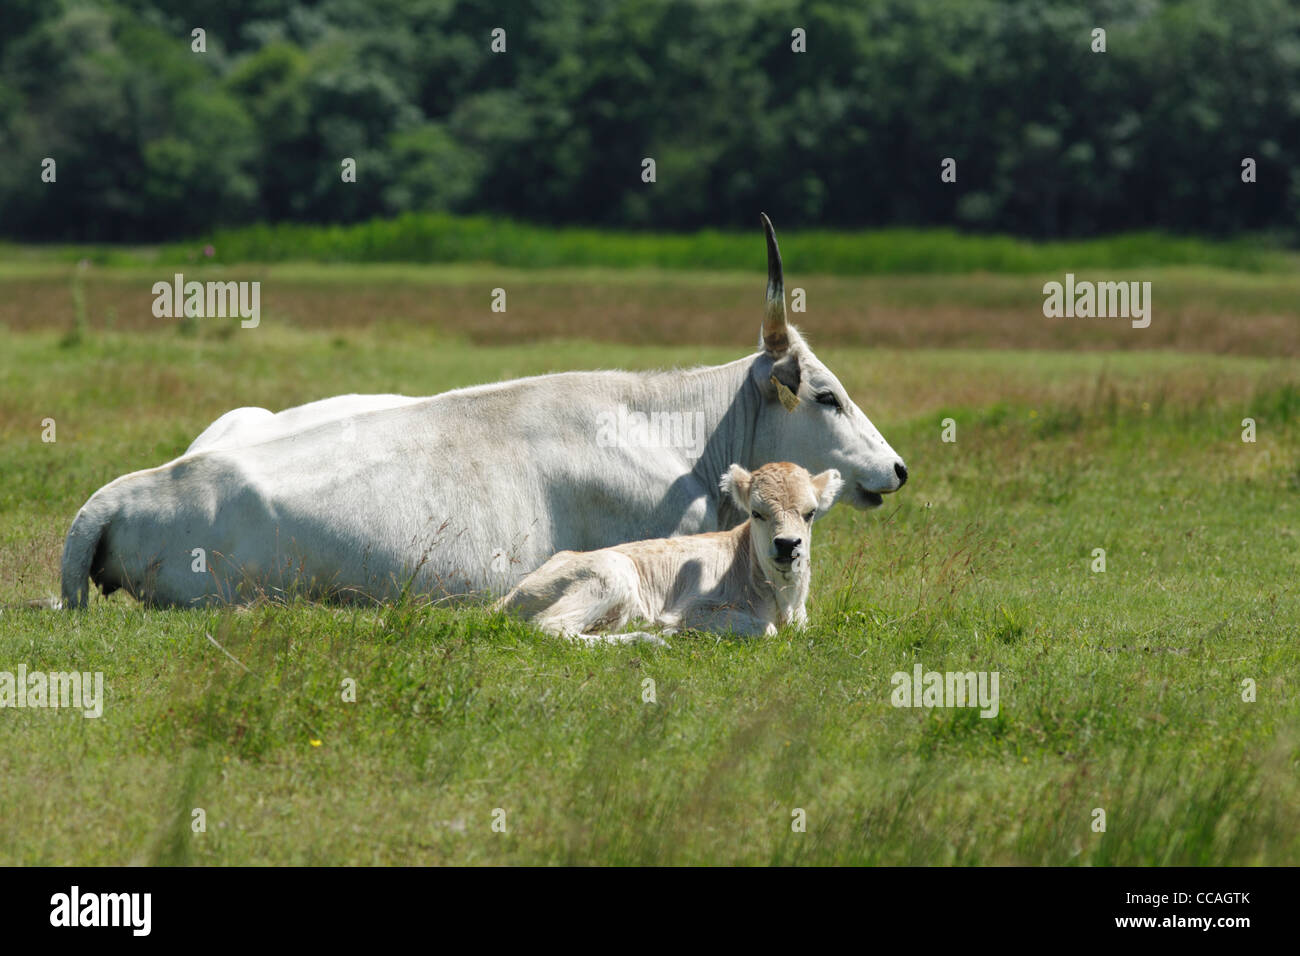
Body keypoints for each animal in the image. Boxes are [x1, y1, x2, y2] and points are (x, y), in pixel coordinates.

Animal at [496, 461, 842, 645]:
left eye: (810, 513)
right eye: (756, 513)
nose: (787, 544)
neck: (783, 601)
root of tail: (505, 599)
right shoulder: (695, 609)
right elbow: (766, 630)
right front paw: (675, 631)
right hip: (611, 572)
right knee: (551, 626)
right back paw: (648, 639)